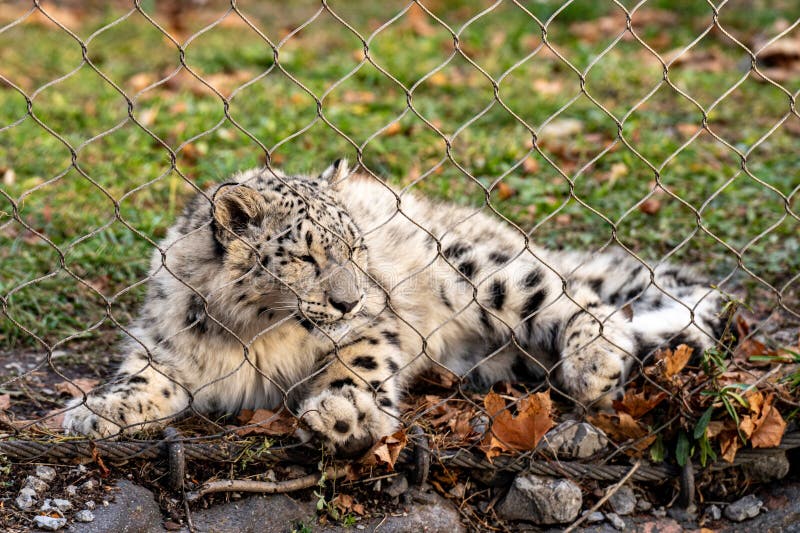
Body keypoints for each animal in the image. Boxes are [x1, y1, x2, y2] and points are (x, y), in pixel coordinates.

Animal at [63, 160, 729, 455]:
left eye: (356, 249)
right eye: (303, 257)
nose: (348, 298)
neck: (253, 335)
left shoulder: (378, 326)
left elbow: (360, 362)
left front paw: (343, 413)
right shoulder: (167, 346)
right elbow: (143, 379)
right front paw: (94, 412)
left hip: (484, 272)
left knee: (579, 297)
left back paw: (593, 368)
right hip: (497, 357)